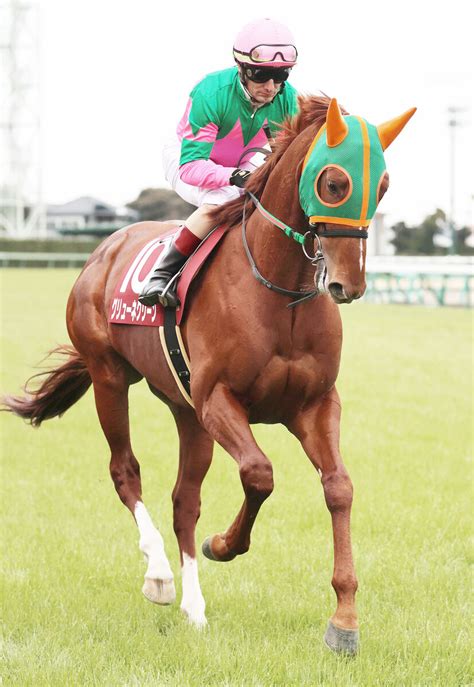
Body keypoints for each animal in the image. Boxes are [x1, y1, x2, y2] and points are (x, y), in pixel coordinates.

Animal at [2, 96, 415, 654]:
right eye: (334, 183)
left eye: (384, 185)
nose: (348, 284)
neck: (279, 290)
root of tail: (104, 248)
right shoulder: (220, 399)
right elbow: (259, 474)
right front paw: (223, 544)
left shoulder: (314, 404)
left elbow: (339, 488)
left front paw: (344, 621)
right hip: (110, 378)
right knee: (125, 471)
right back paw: (158, 577)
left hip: (186, 412)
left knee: (184, 500)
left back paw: (194, 608)